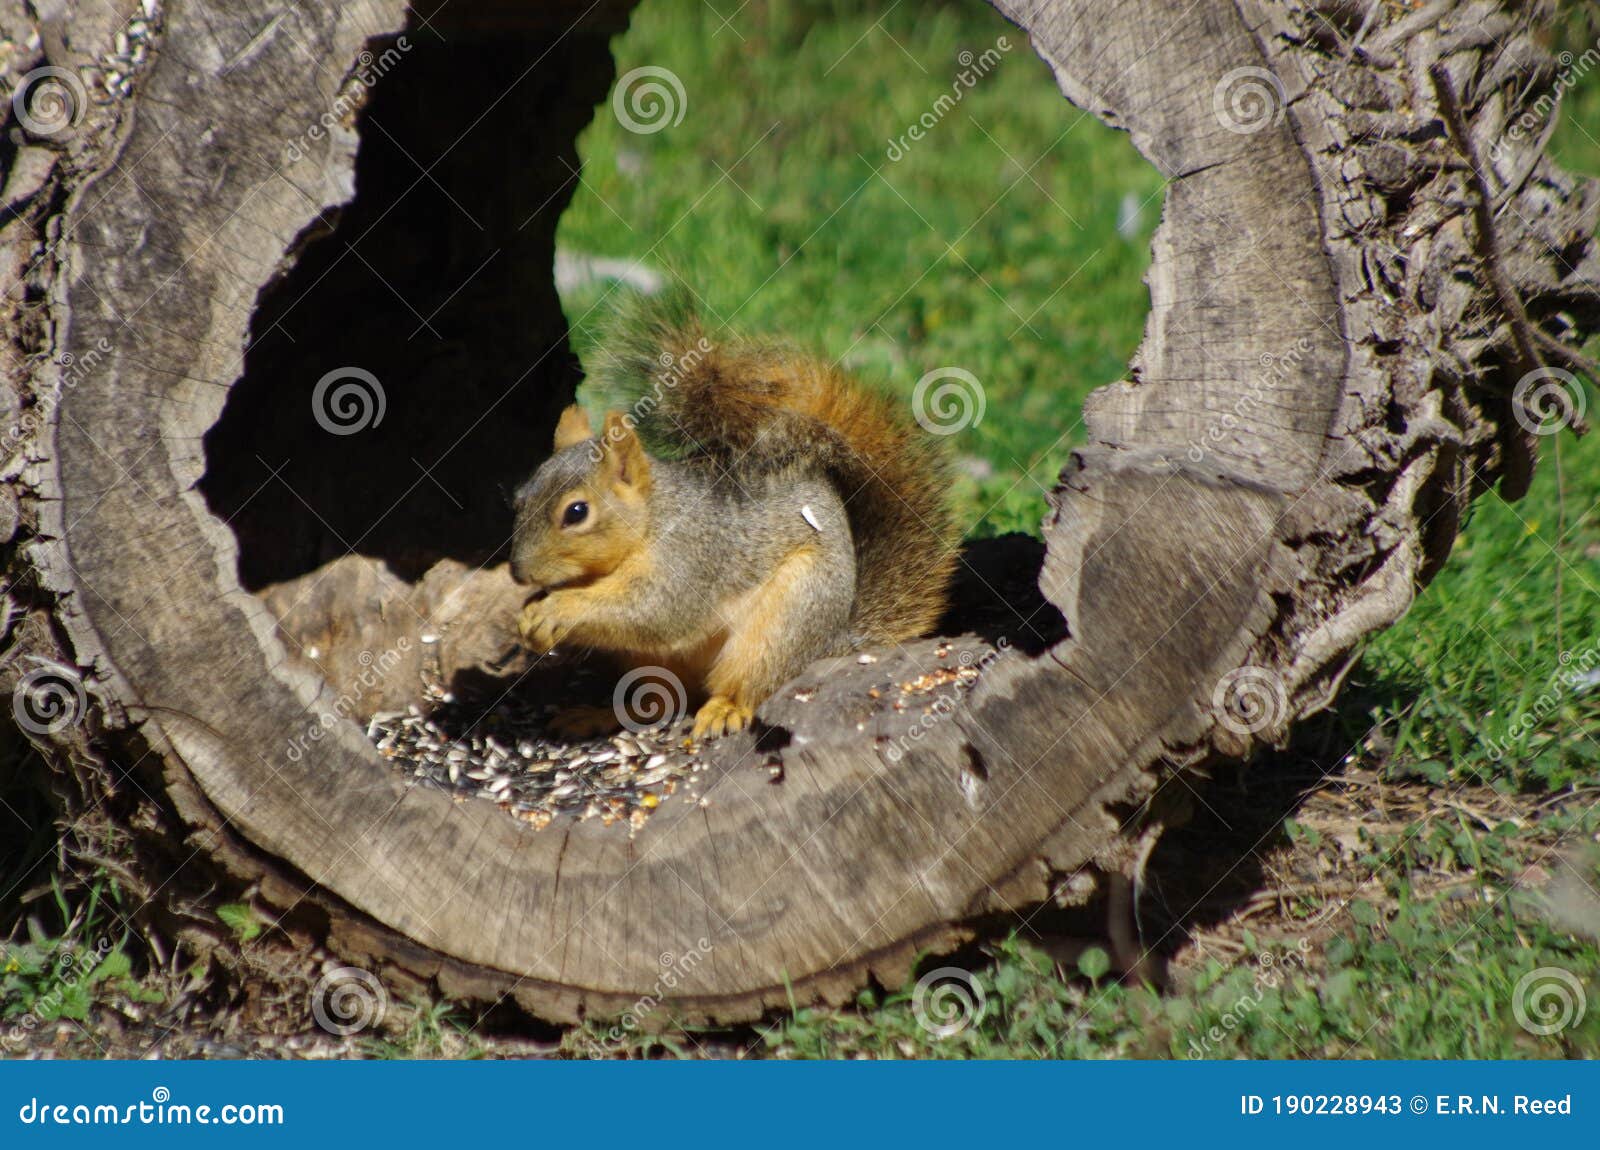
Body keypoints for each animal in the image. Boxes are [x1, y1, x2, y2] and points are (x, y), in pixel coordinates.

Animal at [509, 290, 958, 740]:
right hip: (646, 662)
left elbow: (653, 610)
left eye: (576, 512)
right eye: (519, 497)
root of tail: (829, 643)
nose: (518, 573)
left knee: (749, 683)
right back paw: (598, 715)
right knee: (656, 703)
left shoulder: (691, 558)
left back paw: (725, 708)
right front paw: (529, 613)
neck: (653, 519)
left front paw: (557, 610)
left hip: (783, 621)